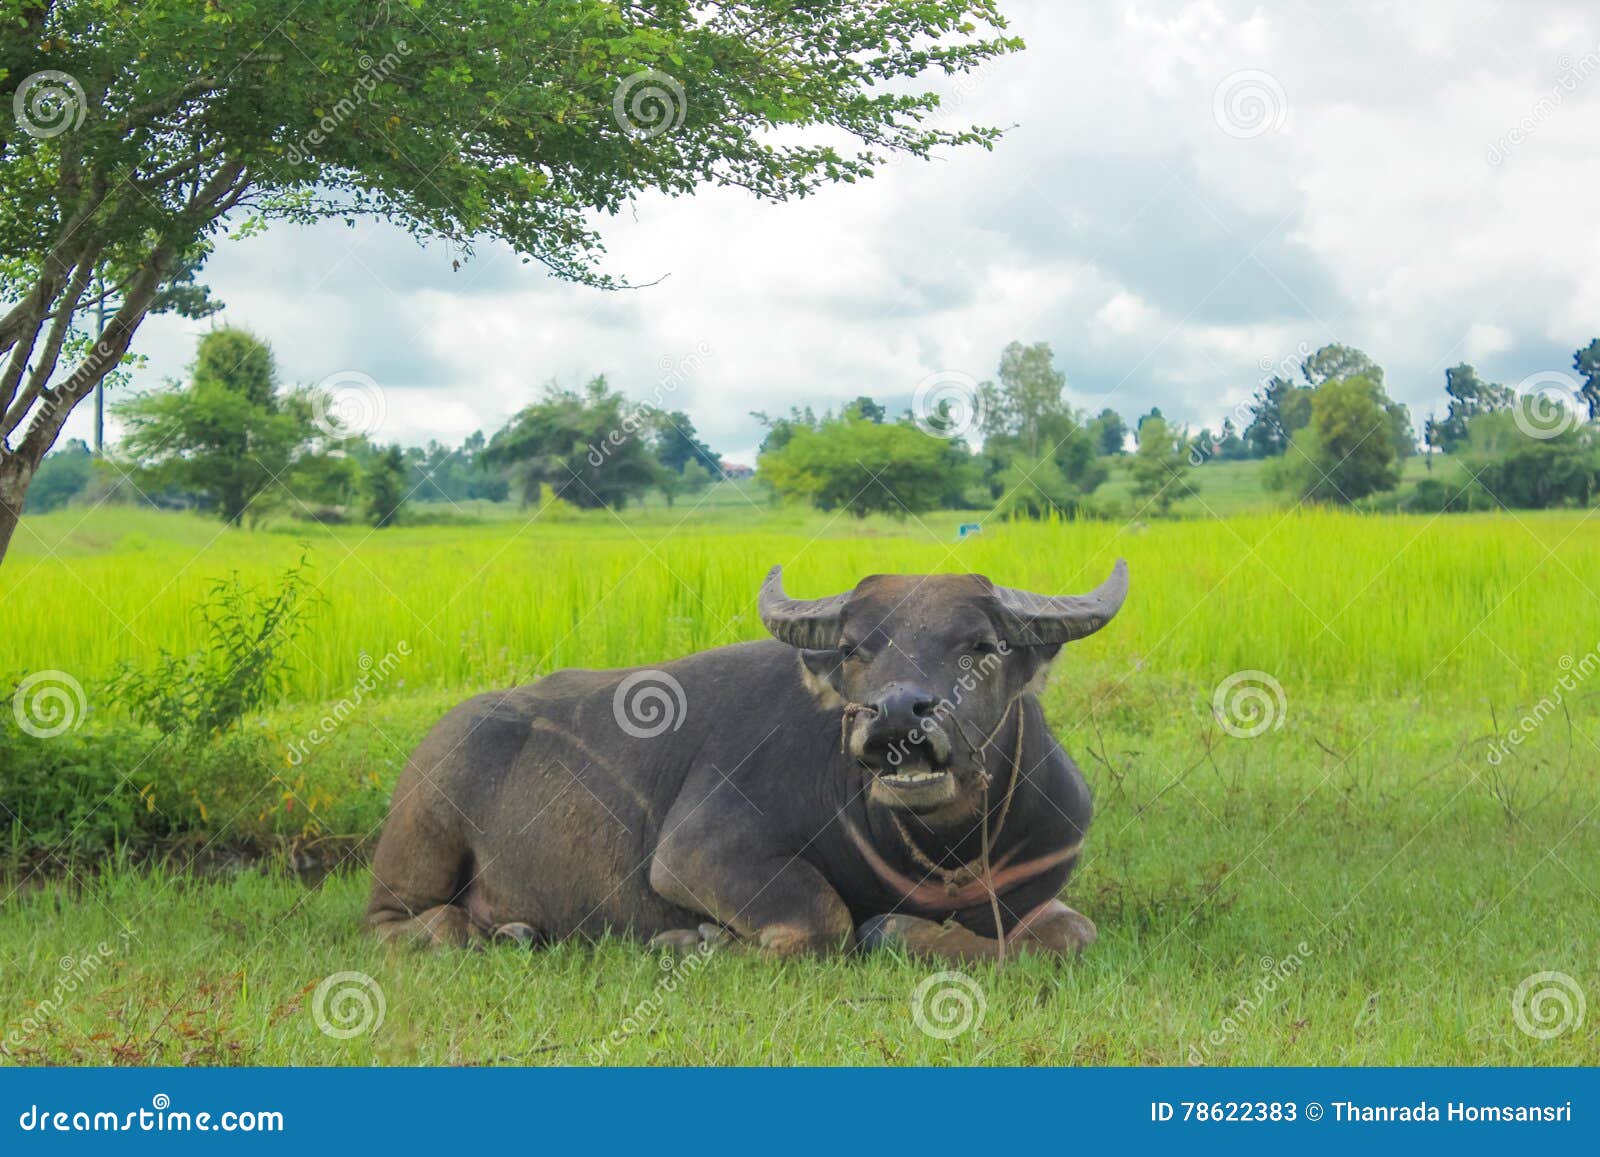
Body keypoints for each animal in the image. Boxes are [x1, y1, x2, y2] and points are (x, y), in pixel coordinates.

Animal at [367, 560, 1128, 962]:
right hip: (418, 842)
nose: (895, 714)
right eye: (854, 646)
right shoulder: (697, 854)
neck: (942, 849)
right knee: (392, 924)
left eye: (982, 645)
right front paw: (697, 937)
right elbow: (827, 921)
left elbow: (1073, 931)